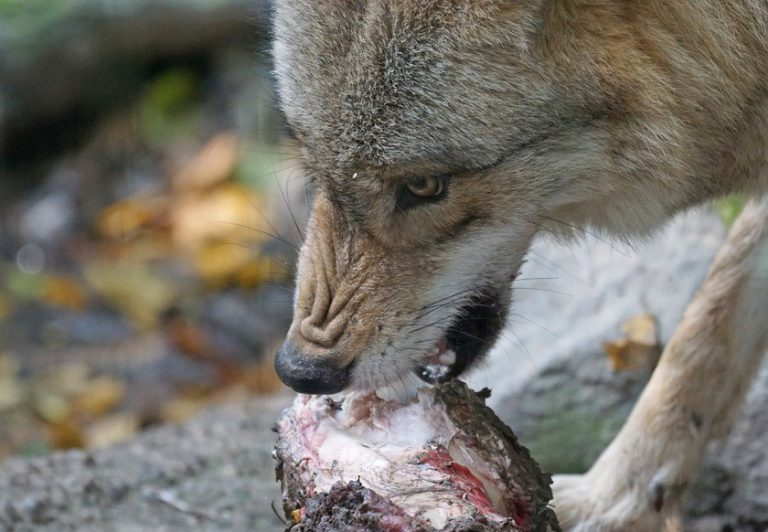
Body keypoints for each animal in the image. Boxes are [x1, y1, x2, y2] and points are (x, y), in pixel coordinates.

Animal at [271, 1, 768, 529]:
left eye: (424, 185)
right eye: (312, 163)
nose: (300, 370)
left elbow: (703, 332)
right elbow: (703, 339)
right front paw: (613, 501)